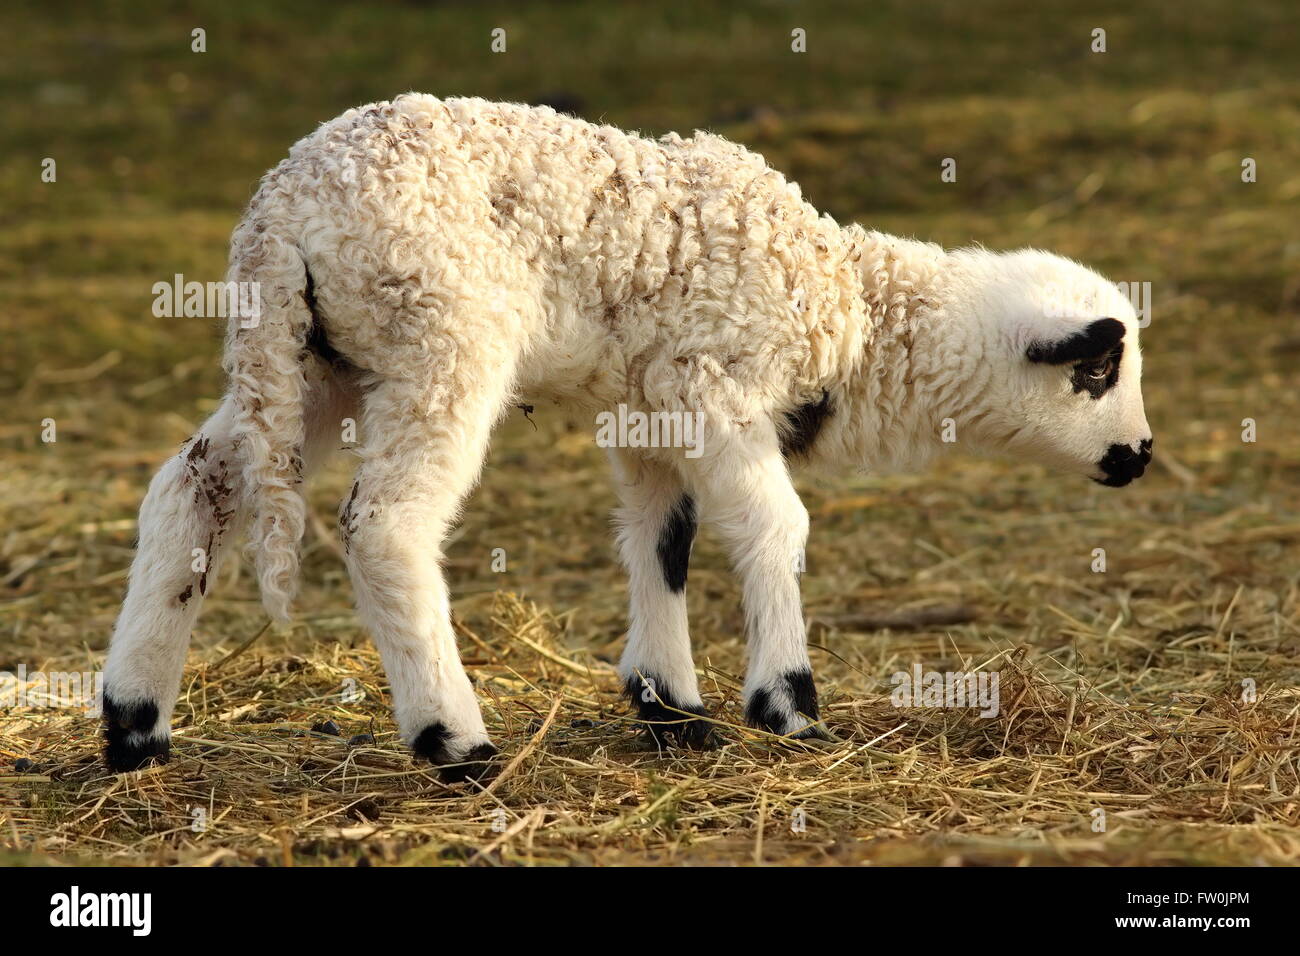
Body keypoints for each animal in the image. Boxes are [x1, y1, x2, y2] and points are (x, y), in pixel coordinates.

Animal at [102, 94, 1153, 780]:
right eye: (1098, 370)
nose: (1140, 455)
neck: (851, 311)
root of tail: (280, 212)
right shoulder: (715, 380)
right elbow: (773, 527)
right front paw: (787, 704)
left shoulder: (654, 403)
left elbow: (664, 538)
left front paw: (668, 705)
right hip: (439, 333)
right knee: (385, 524)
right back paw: (455, 741)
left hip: (306, 357)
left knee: (192, 486)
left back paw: (133, 726)